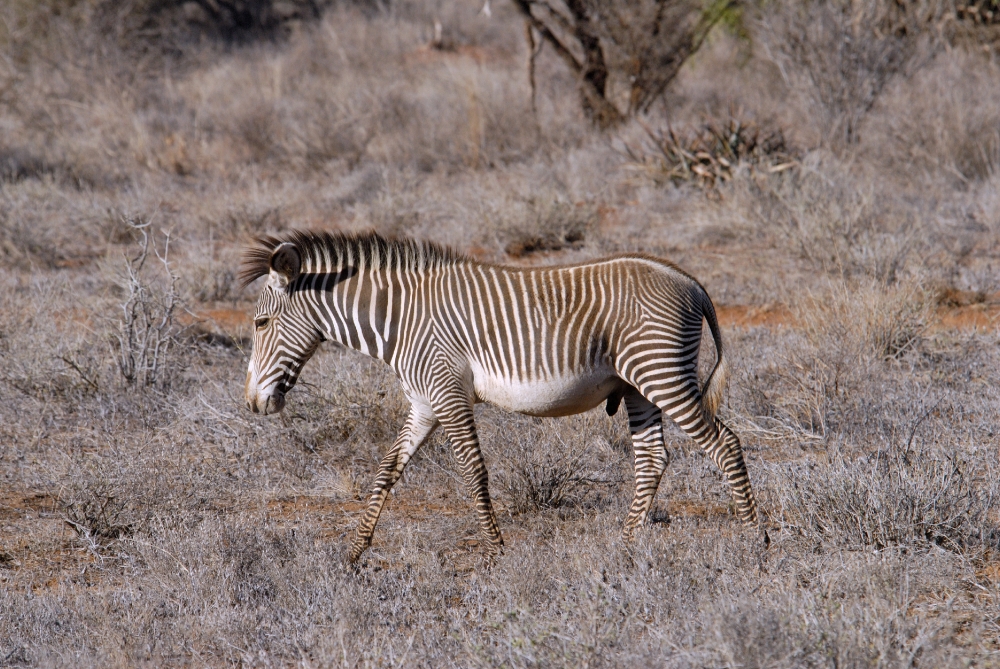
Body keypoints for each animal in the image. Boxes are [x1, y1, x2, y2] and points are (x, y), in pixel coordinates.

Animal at [240, 230, 766, 562]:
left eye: (260, 323)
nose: (253, 403)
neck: (402, 322)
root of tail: (689, 281)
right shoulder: (425, 403)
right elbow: (387, 470)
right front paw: (354, 551)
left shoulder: (448, 392)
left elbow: (473, 469)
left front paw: (495, 551)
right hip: (640, 386)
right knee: (654, 458)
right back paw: (626, 544)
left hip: (662, 375)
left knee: (725, 445)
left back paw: (753, 540)